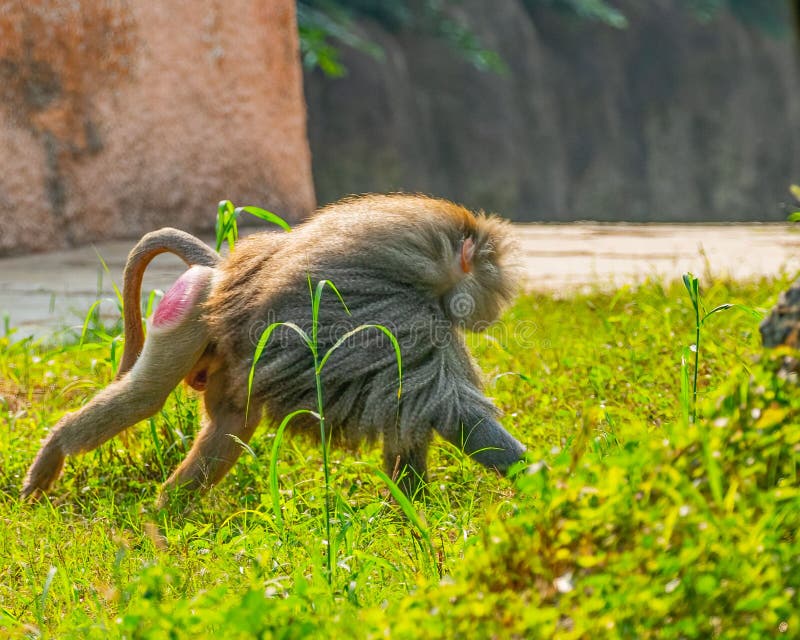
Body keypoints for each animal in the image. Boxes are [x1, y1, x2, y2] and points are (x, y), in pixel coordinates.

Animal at [22, 194, 526, 506]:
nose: (488, 315)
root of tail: (218, 270)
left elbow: (413, 413)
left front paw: (410, 512)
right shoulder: (400, 316)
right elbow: (451, 411)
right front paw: (540, 480)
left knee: (231, 424)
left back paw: (164, 516)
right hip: (187, 312)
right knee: (147, 396)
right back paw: (56, 452)